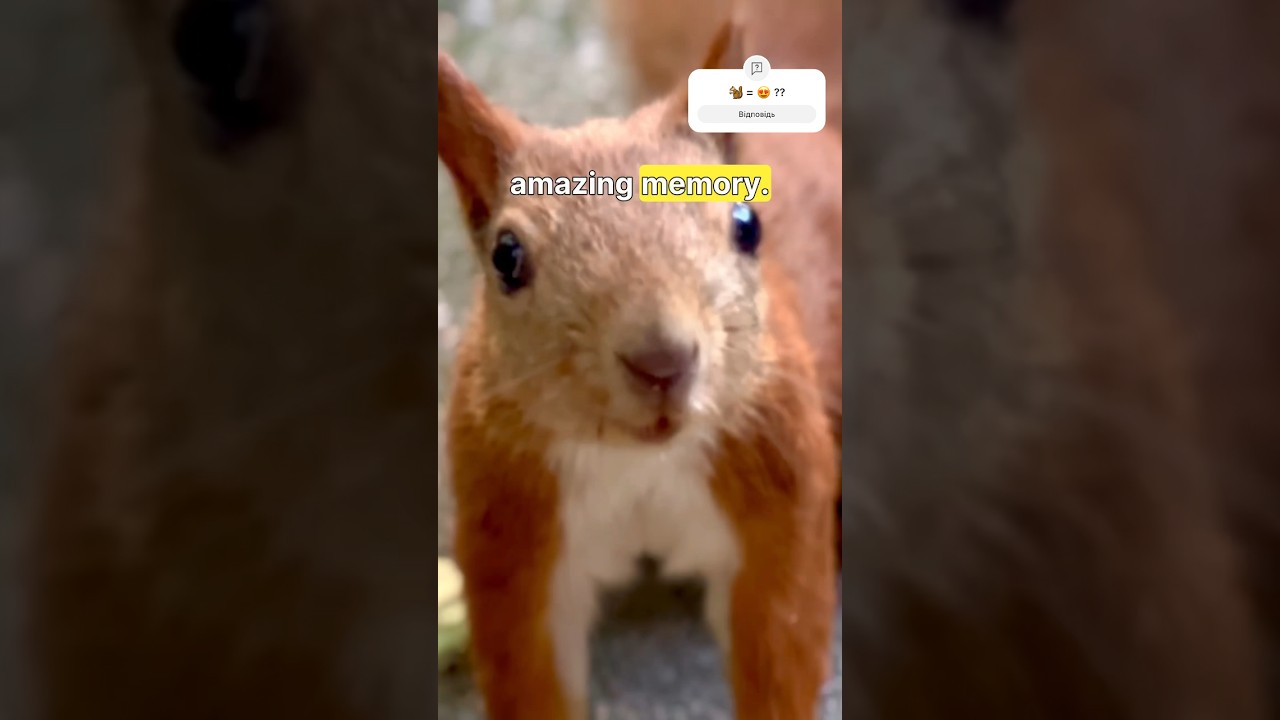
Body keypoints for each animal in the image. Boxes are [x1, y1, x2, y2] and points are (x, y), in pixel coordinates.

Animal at [438, 17, 839, 720]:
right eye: (506, 257)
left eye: (748, 223)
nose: (662, 362)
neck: (637, 463)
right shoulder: (512, 526)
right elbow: (531, 669)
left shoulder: (781, 497)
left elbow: (780, 642)